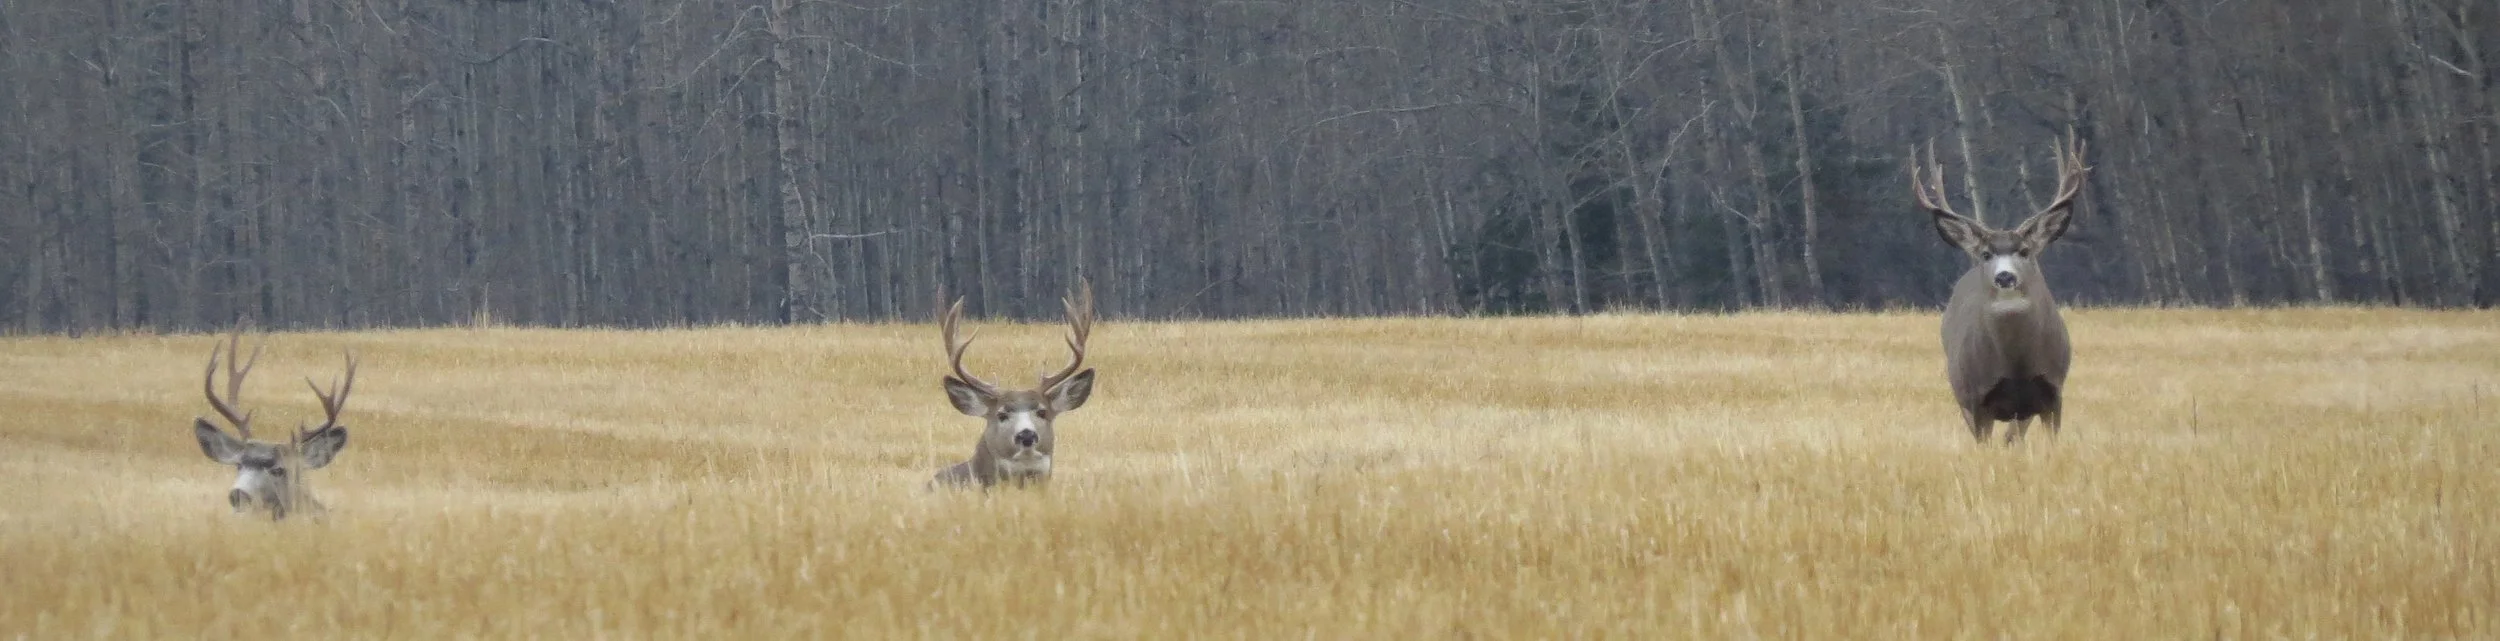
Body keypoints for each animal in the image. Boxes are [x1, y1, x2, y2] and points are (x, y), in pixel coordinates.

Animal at [1911, 137, 2091, 445]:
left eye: (2025, 250)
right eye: (1986, 254)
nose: (2005, 276)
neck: (2016, 367)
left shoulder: (2052, 392)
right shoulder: (1976, 398)